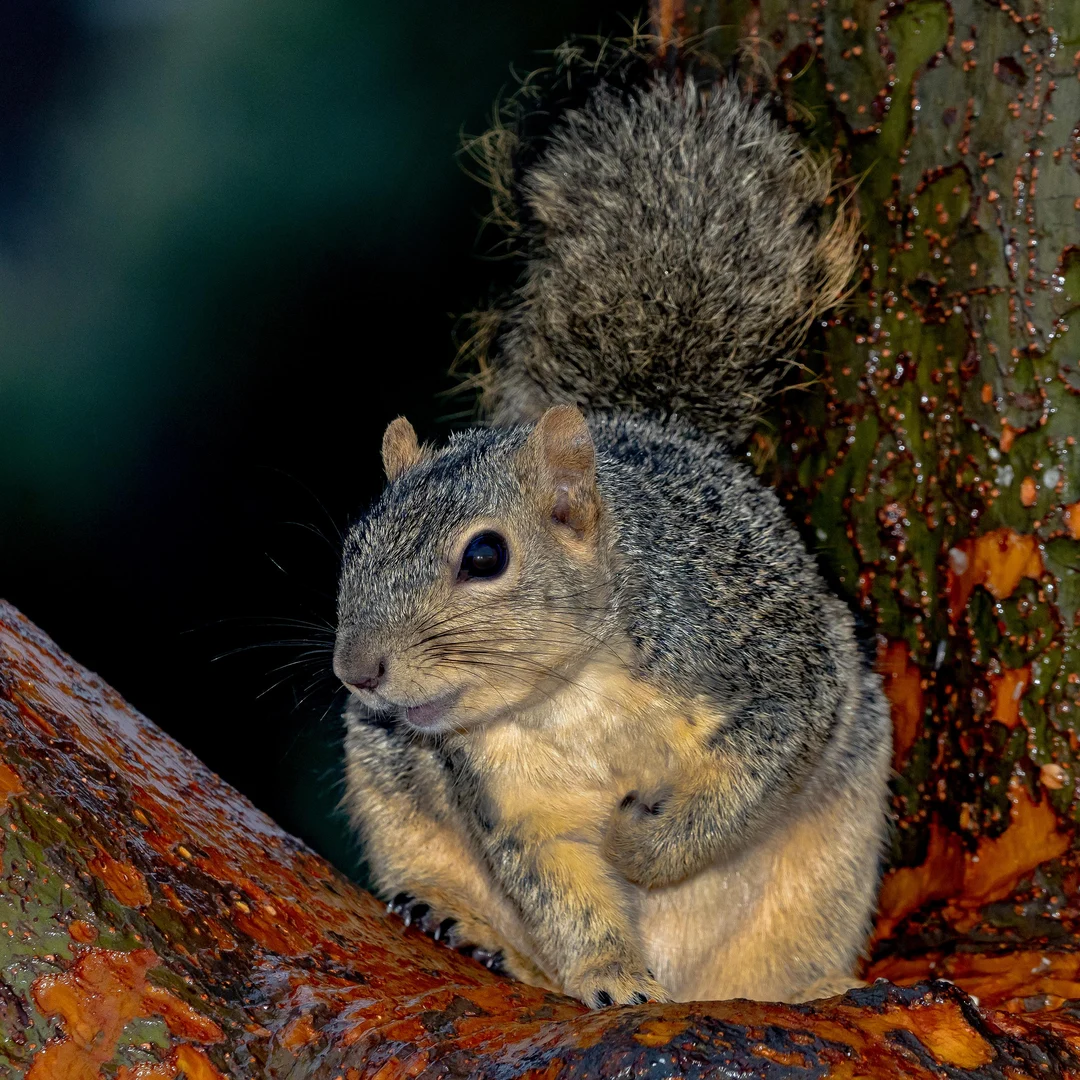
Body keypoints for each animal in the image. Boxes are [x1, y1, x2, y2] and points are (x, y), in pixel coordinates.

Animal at [333, 73, 892, 1007]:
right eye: (353, 547)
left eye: (485, 556)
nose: (357, 671)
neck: (567, 696)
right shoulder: (509, 798)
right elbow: (560, 888)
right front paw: (613, 980)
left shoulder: (764, 668)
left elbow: (743, 788)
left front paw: (638, 845)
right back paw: (468, 928)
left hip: (829, 864)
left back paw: (813, 988)